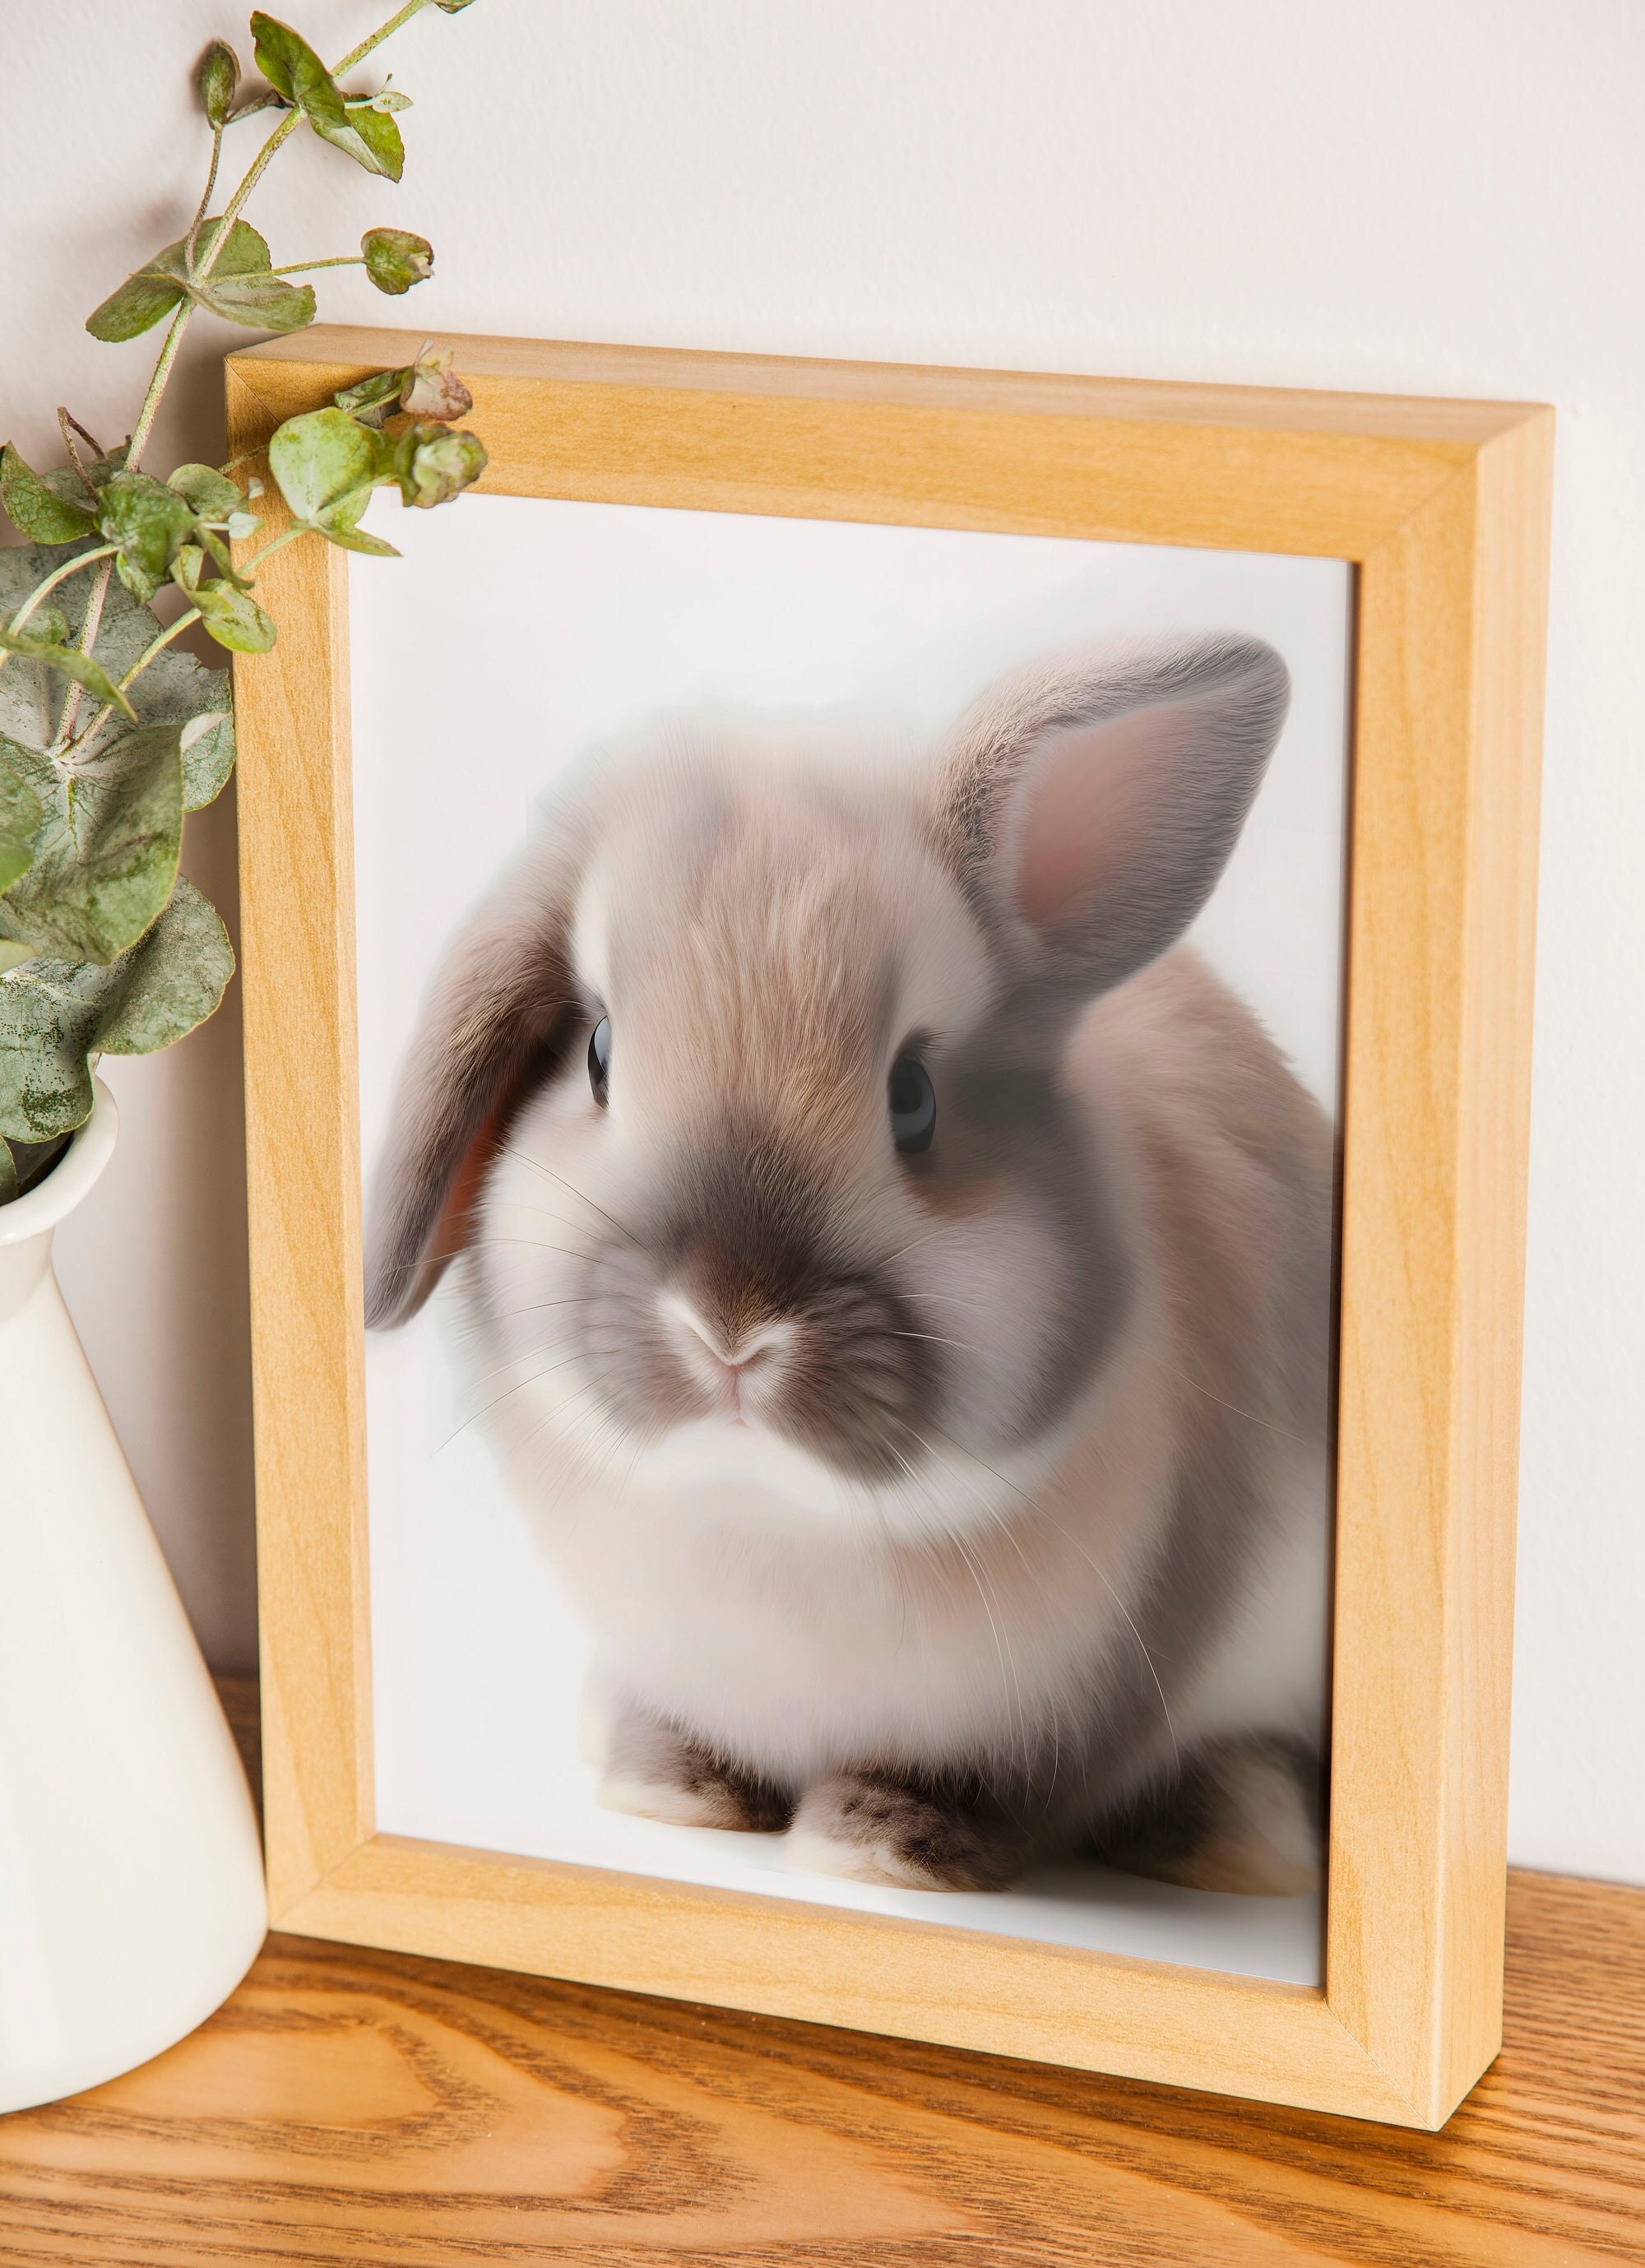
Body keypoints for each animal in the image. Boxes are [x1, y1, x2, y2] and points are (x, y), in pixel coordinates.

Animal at [365, 633, 1335, 1897]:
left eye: (912, 1096)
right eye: (599, 1054)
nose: (727, 1328)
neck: (766, 1517)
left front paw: (877, 1848)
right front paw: (669, 1787)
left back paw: (1229, 1833)